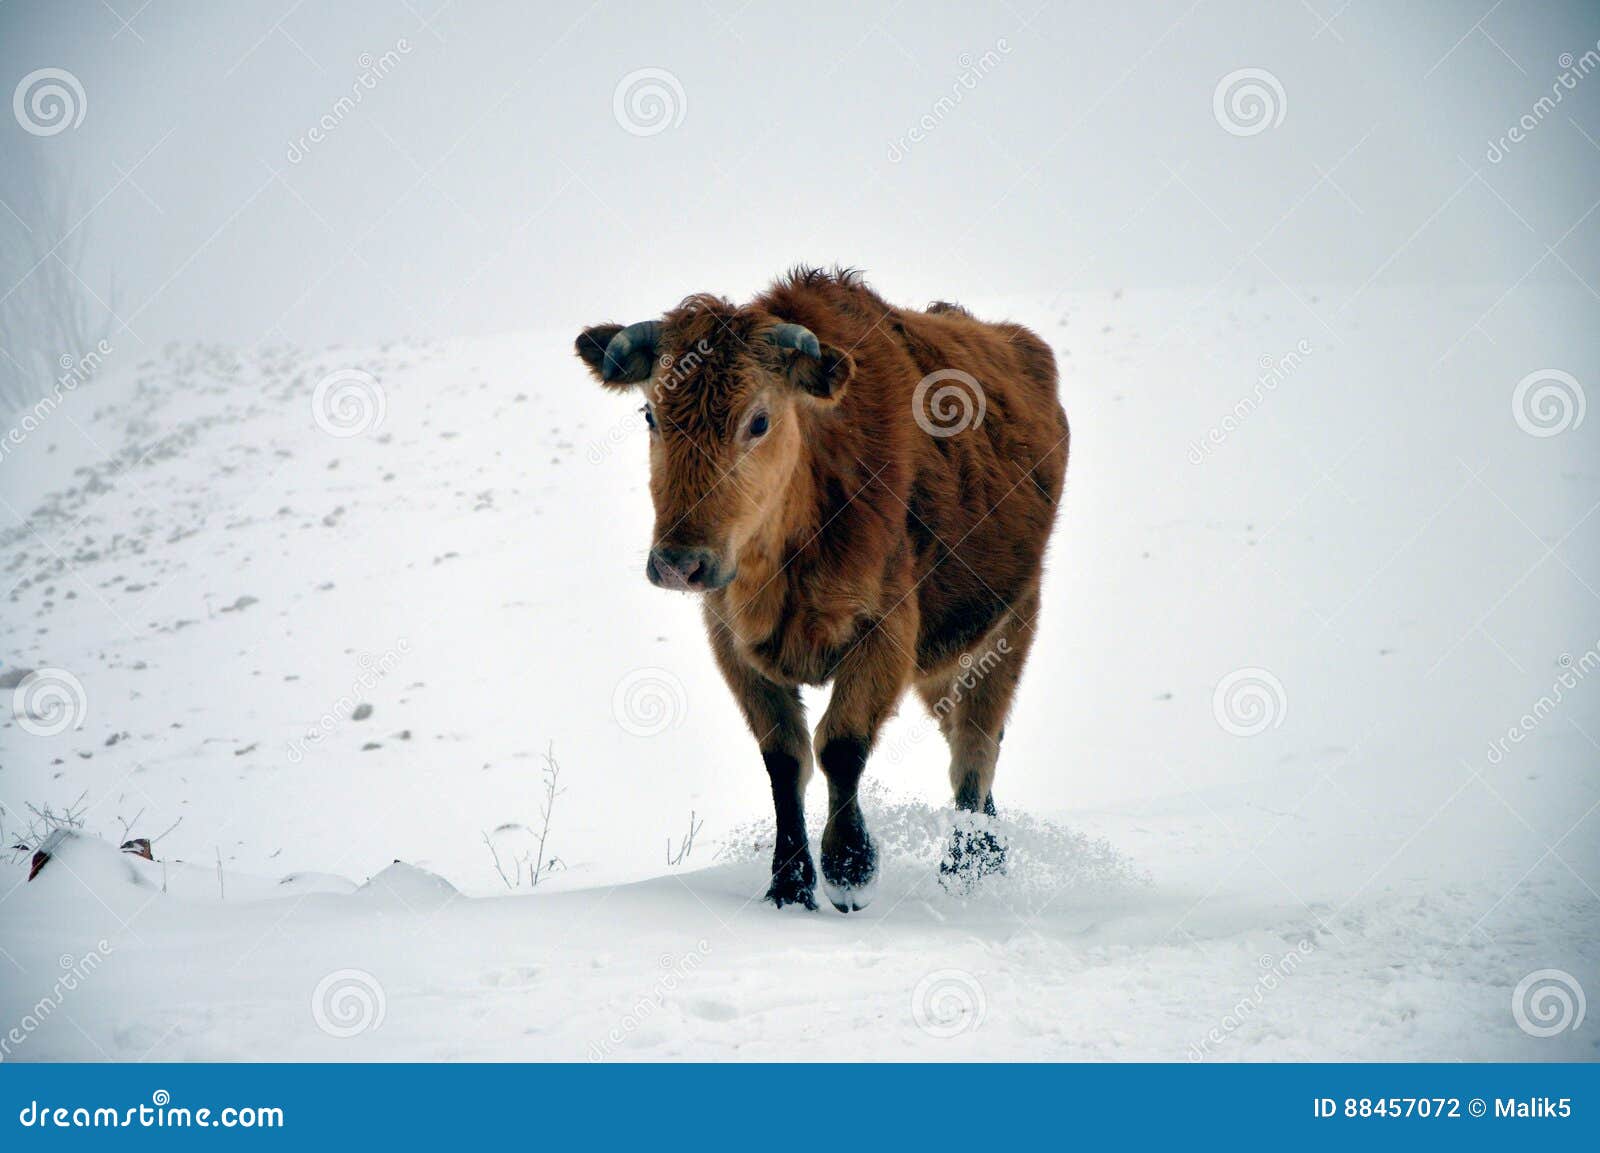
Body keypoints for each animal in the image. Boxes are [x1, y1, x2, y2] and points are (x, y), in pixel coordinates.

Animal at [576, 268, 1068, 913]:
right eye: (651, 416)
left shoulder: (884, 633)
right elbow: (785, 757)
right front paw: (789, 885)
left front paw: (850, 871)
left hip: (1007, 628)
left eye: (759, 421)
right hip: (944, 662)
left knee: (974, 749)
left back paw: (965, 871)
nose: (681, 563)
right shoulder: (733, 644)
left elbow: (841, 743)